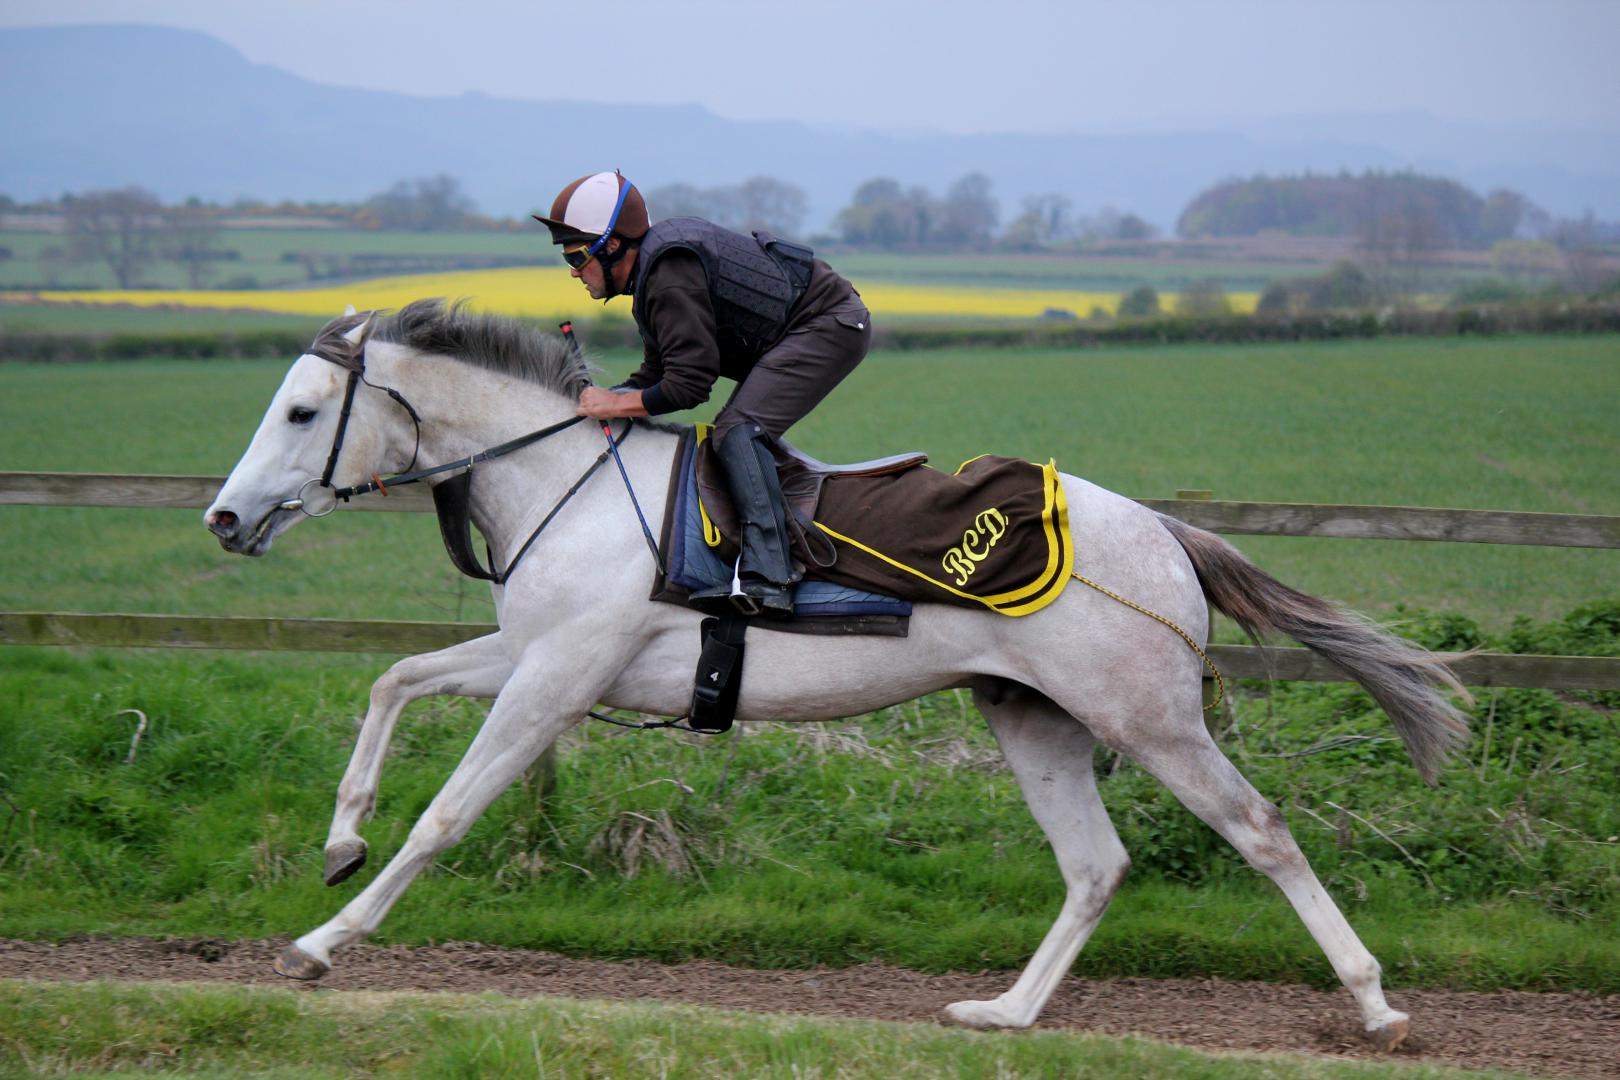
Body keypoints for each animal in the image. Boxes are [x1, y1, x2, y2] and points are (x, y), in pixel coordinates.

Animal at [204, 299, 1469, 1050]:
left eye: (303, 411)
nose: (222, 517)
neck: (568, 481)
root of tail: (1165, 532)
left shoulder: (552, 680)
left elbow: (448, 814)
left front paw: (323, 942)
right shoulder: (529, 658)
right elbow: (395, 680)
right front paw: (339, 840)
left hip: (1147, 717)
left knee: (1259, 831)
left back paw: (1376, 1005)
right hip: (1034, 720)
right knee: (1096, 866)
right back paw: (1005, 1013)